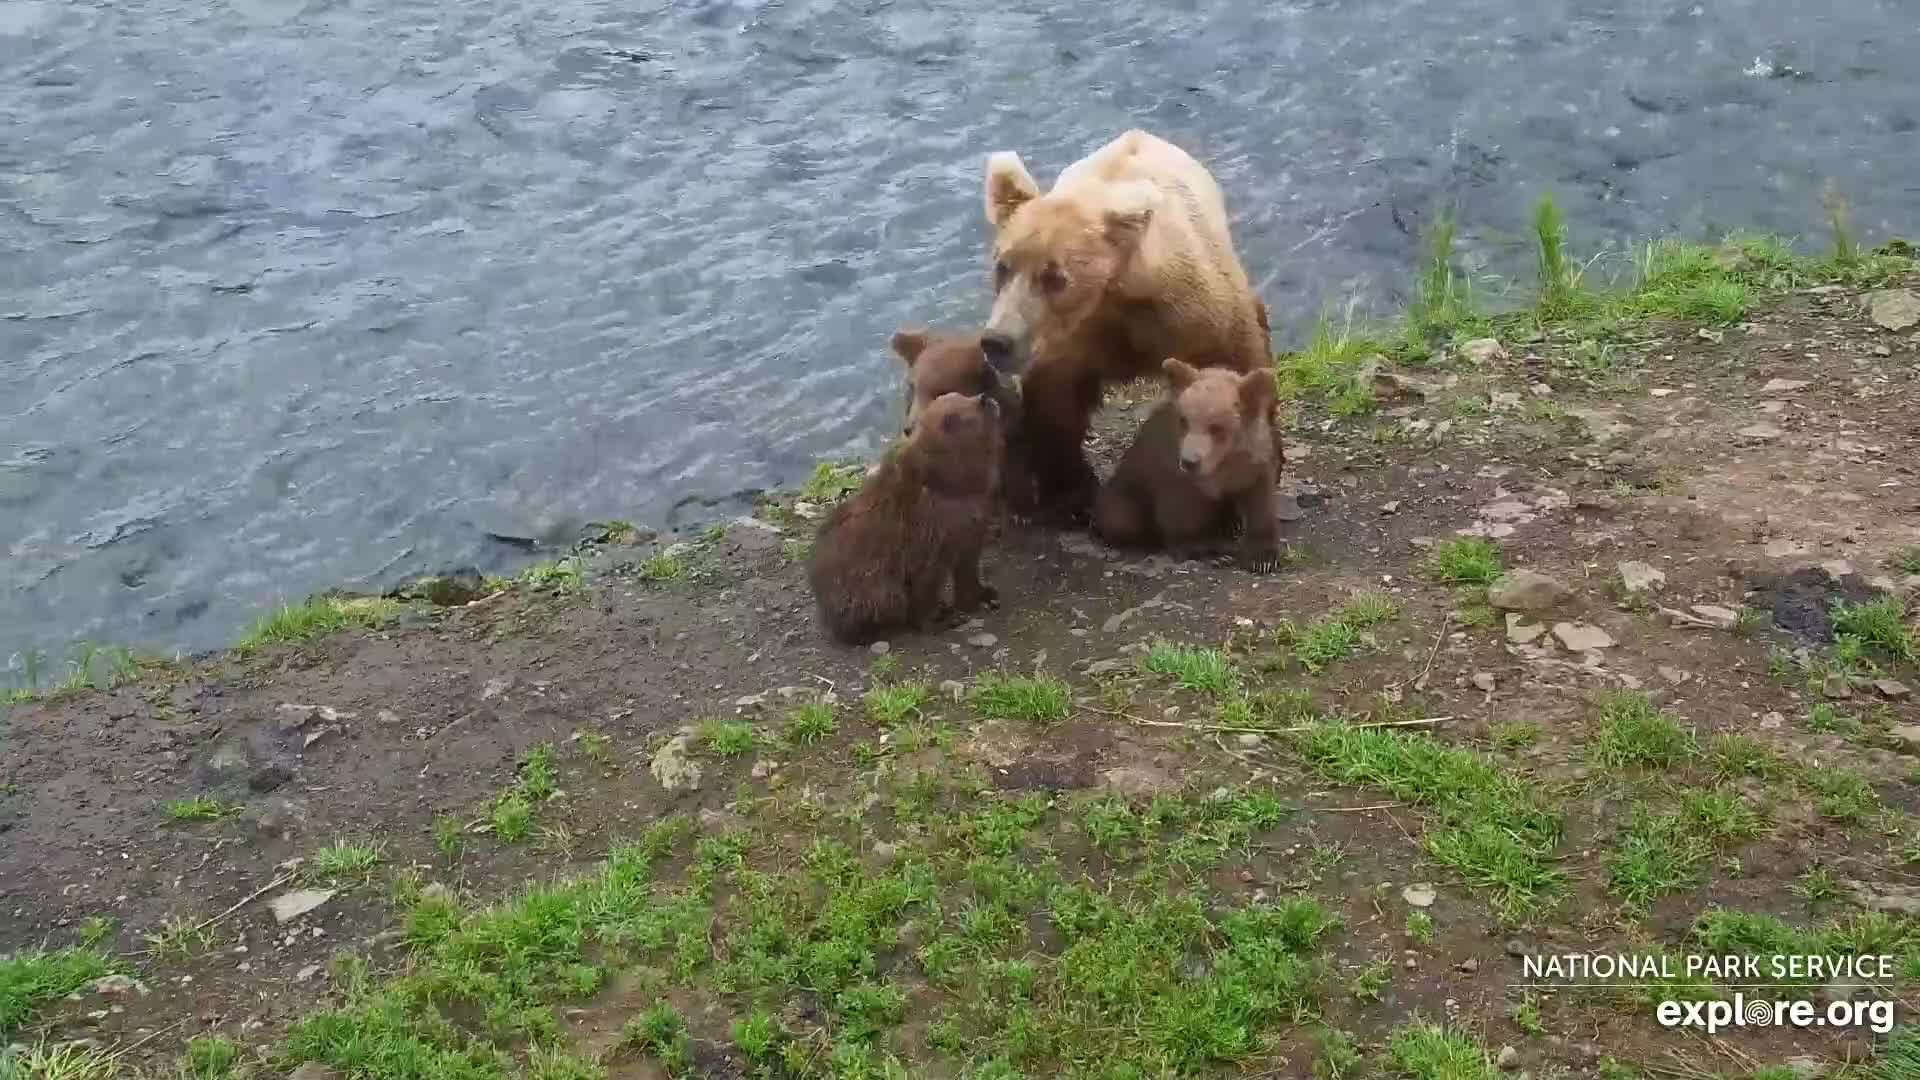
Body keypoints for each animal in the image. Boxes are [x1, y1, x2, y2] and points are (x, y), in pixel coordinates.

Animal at [807, 391, 1002, 645]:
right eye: (953, 417)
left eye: (958, 394)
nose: (984, 398)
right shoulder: (929, 534)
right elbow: (924, 582)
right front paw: (940, 620)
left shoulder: (969, 525)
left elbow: (967, 568)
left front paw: (985, 595)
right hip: (871, 588)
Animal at [981, 128, 1272, 520]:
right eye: (1002, 266)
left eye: (1055, 277)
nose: (997, 341)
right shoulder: (1071, 344)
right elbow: (1055, 407)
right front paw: (1069, 493)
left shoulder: (1199, 312)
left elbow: (1240, 359)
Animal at [1092, 358, 1285, 572]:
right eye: (1184, 420)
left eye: (1217, 427)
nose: (1189, 461)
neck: (1221, 463)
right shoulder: (1174, 473)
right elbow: (1179, 516)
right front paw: (1203, 549)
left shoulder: (1252, 465)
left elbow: (1261, 505)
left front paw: (1263, 558)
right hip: (1126, 489)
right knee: (1121, 517)